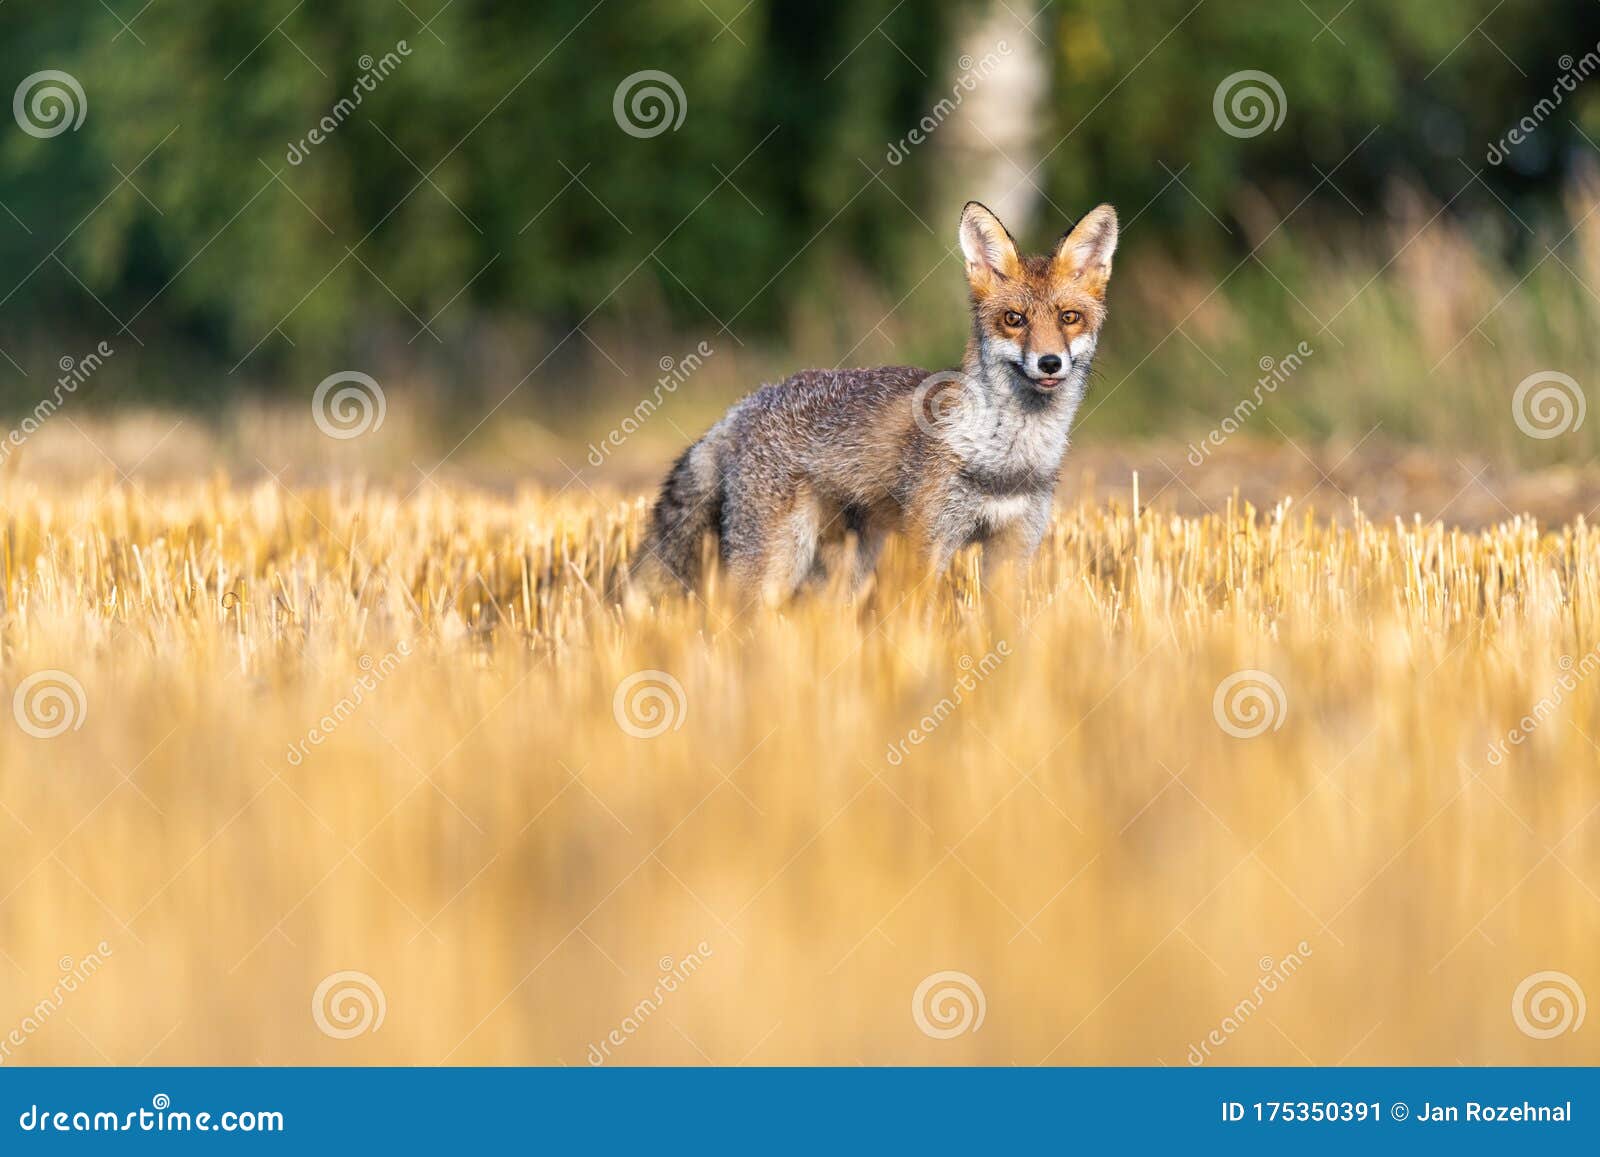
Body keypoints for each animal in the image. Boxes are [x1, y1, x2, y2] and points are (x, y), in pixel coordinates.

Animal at [633, 199, 1118, 603]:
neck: (1005, 461)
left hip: (843, 567)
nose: (1050, 362)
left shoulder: (1014, 547)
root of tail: (748, 401)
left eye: (1069, 318)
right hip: (776, 562)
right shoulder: (928, 542)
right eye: (1014, 320)